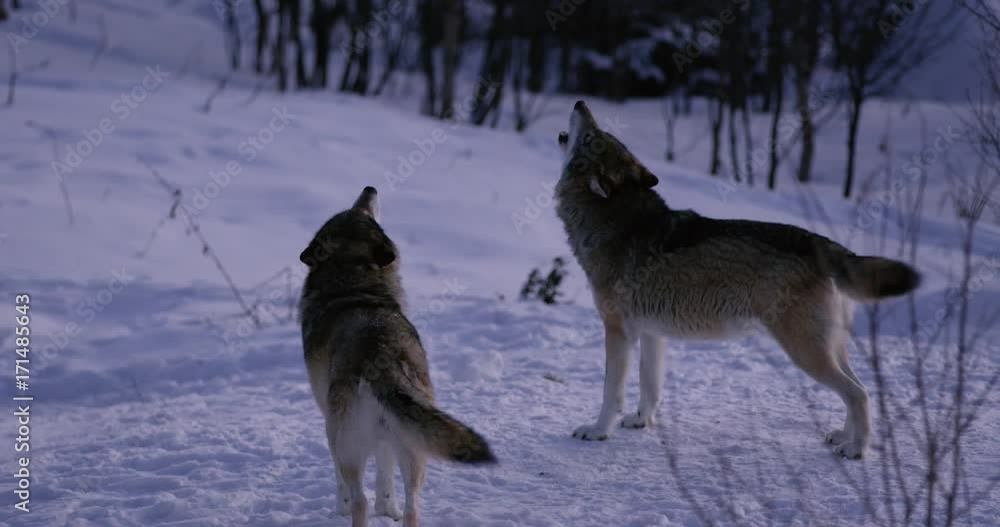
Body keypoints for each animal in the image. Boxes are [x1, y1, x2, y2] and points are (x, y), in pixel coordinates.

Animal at [299, 186, 497, 527]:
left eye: (367, 213)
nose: (370, 188)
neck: (352, 279)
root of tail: (380, 357)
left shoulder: (329, 425)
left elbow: (343, 486)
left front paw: (340, 508)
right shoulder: (386, 441)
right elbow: (386, 482)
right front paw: (386, 511)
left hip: (350, 444)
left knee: (360, 502)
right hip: (414, 448)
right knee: (412, 508)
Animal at [555, 101, 920, 459]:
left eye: (590, 136)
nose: (580, 102)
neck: (615, 220)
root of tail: (820, 242)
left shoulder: (618, 331)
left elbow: (610, 392)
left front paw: (598, 431)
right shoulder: (651, 333)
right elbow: (651, 386)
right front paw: (641, 421)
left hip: (807, 353)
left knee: (858, 394)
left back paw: (857, 449)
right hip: (831, 348)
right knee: (861, 387)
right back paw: (844, 436)